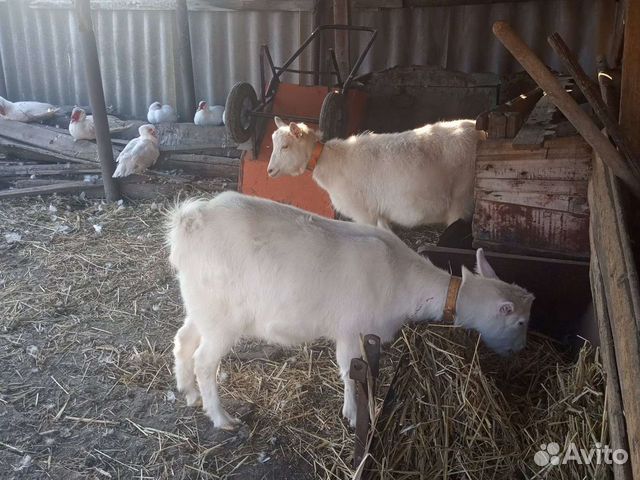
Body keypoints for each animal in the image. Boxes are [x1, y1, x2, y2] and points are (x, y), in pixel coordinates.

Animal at [168, 192, 533, 429]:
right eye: (519, 321)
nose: (519, 351)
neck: (401, 277)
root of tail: (189, 222)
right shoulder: (350, 330)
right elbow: (348, 371)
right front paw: (354, 415)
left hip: (202, 305)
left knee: (183, 340)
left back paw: (189, 393)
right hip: (223, 319)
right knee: (204, 361)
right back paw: (221, 418)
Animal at [267, 118, 484, 230]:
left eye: (285, 146)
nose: (269, 170)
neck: (331, 162)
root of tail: (480, 131)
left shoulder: (363, 213)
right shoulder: (379, 213)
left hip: (461, 196)